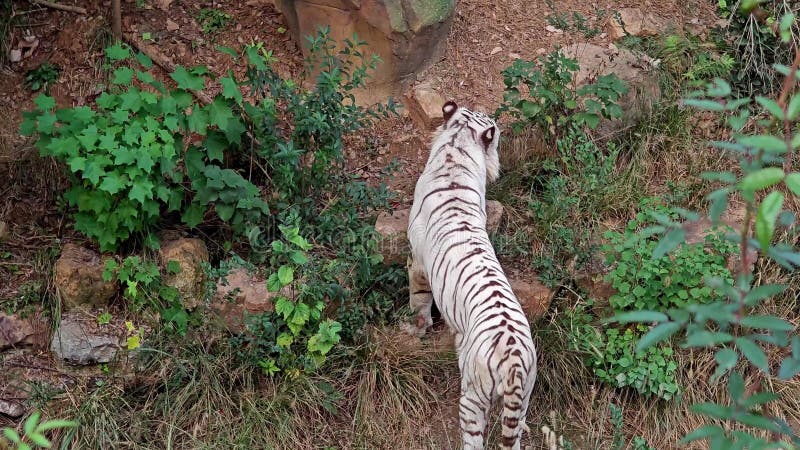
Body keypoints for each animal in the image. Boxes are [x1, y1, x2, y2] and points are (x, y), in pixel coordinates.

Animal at [405, 100, 538, 450]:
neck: (456, 146)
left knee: (474, 437)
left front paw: (417, 326)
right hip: (525, 395)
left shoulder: (417, 262)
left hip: (474, 396)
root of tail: (514, 361)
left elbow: (419, 299)